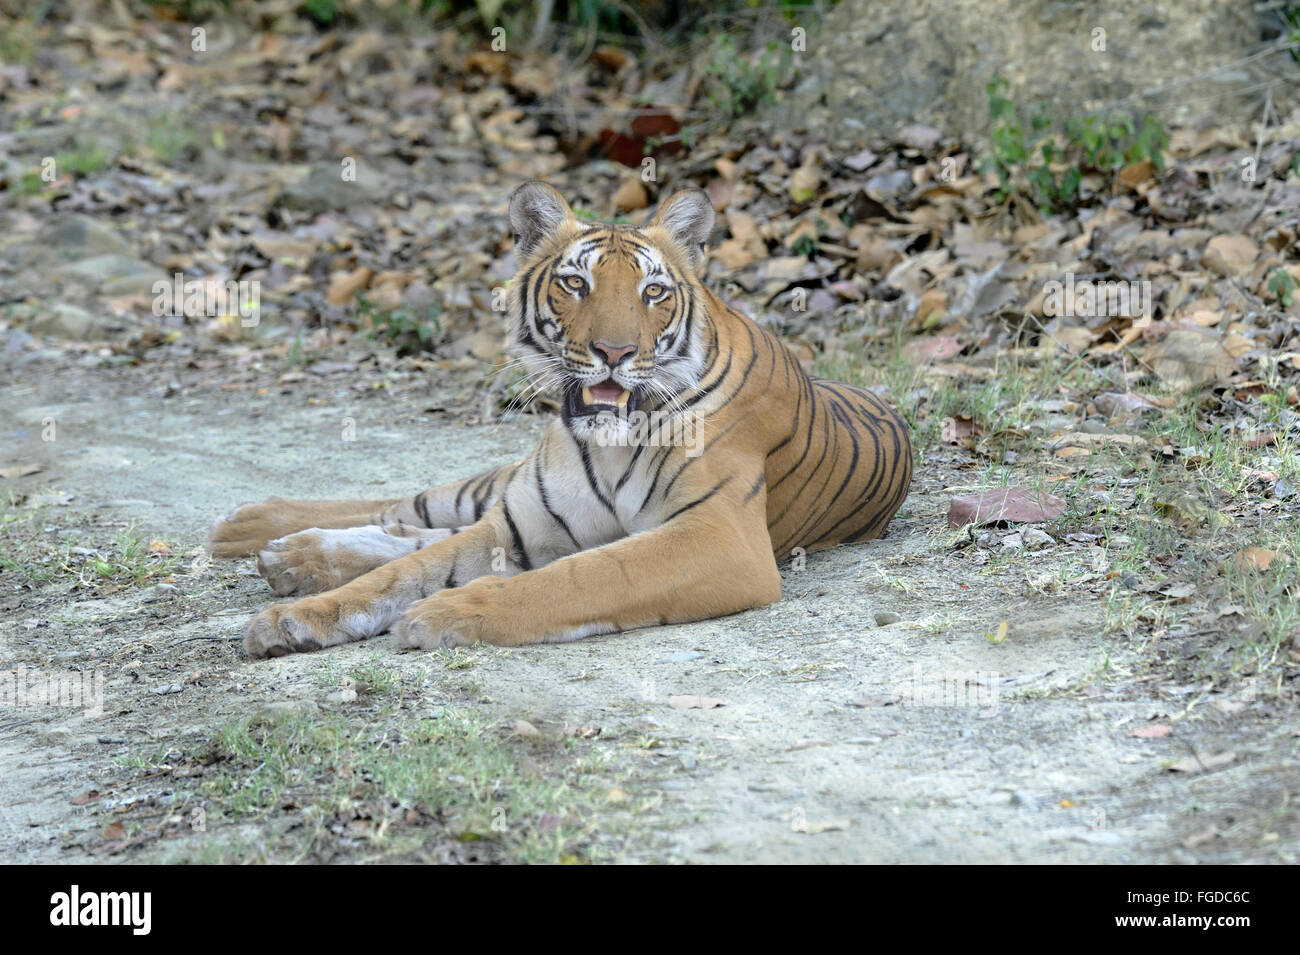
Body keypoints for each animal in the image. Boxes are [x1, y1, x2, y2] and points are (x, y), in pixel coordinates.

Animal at [209, 181, 912, 657]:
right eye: (576, 284)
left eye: (653, 292)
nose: (614, 352)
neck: (607, 442)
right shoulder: (520, 526)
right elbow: (400, 573)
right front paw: (293, 619)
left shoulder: (721, 537)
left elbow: (580, 576)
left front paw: (445, 614)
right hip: (502, 489)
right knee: (413, 510)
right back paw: (260, 534)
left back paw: (289, 556)